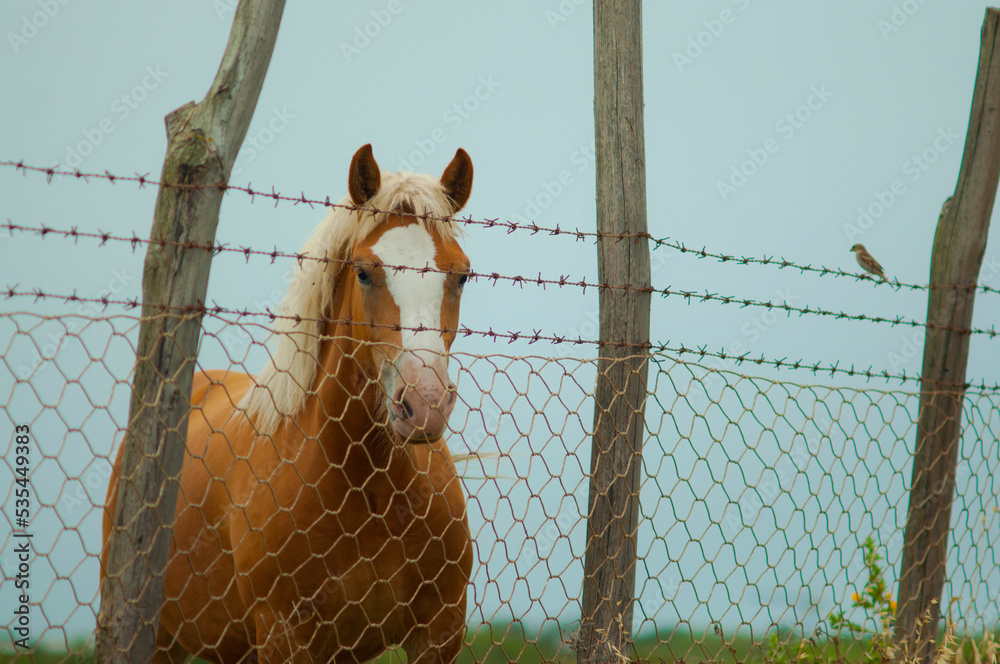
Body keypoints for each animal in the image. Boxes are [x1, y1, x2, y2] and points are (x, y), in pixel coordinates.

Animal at [102, 144, 475, 664]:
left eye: (461, 276)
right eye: (364, 272)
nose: (424, 404)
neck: (370, 492)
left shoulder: (439, 632)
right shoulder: (284, 635)